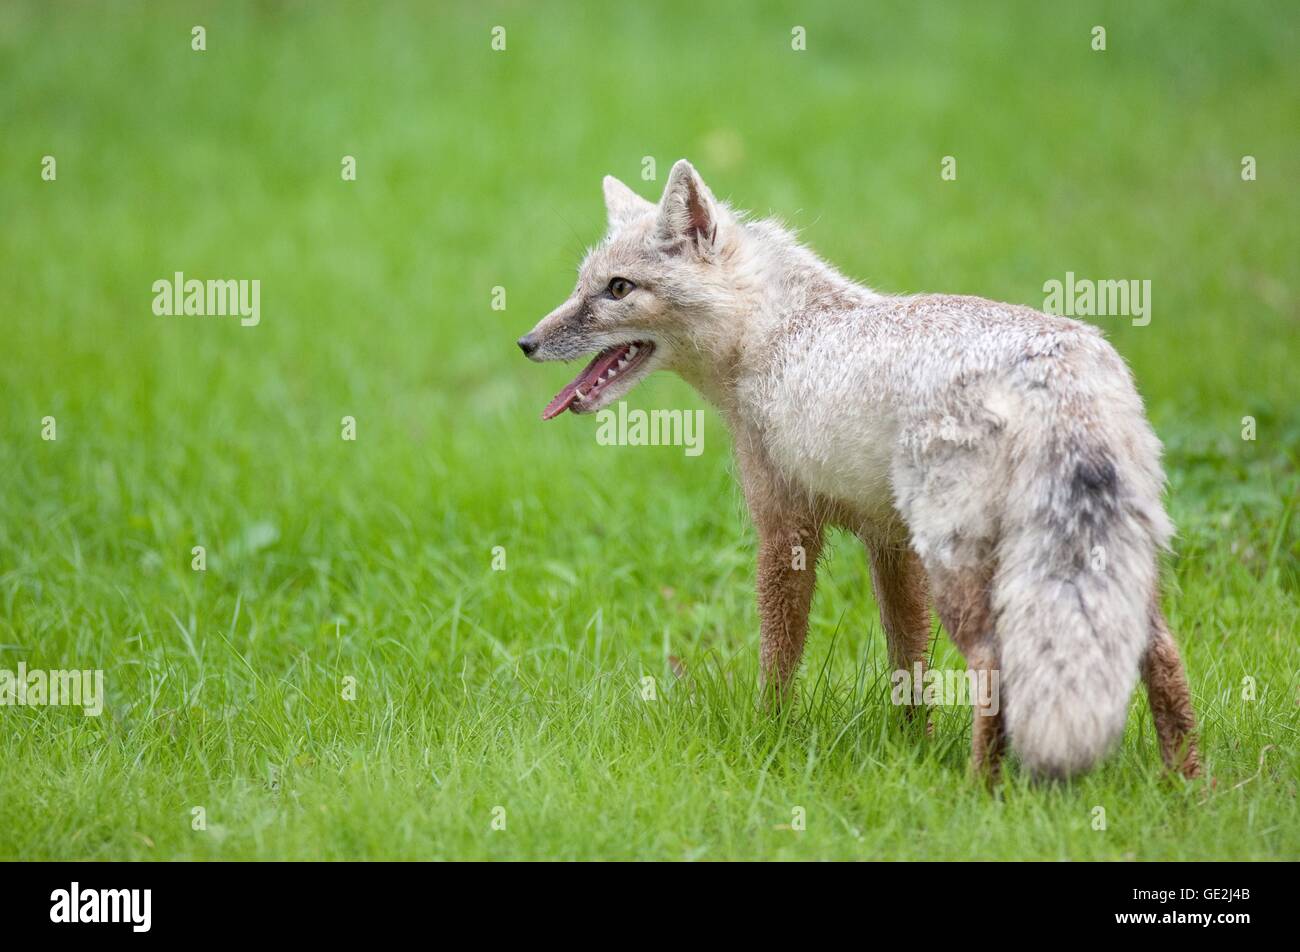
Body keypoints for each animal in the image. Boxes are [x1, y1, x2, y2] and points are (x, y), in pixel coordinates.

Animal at [518, 160, 1200, 780]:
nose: (525, 343)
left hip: (961, 565)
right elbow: (910, 665)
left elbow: (780, 656)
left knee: (991, 665)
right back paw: (1188, 788)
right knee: (1165, 658)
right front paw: (914, 746)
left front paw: (768, 736)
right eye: (582, 286)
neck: (775, 333)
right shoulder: (889, 543)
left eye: (617, 289)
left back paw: (982, 791)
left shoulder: (785, 529)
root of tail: (1055, 362)